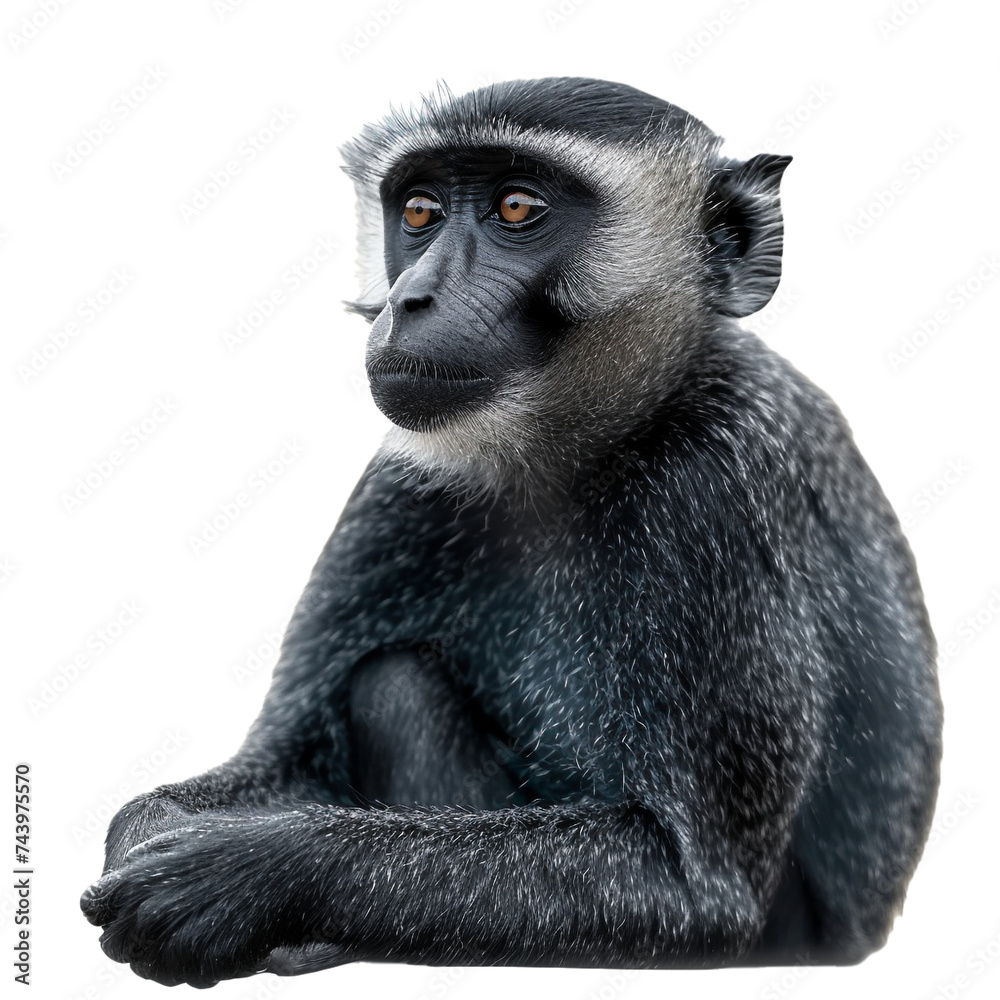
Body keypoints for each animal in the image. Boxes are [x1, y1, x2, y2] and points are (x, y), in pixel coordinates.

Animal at [80, 77, 942, 987]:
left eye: (517, 207)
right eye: (419, 212)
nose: (409, 299)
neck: (590, 449)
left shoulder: (716, 491)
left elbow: (697, 893)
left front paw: (251, 870)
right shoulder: (400, 485)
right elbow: (279, 763)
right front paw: (152, 832)